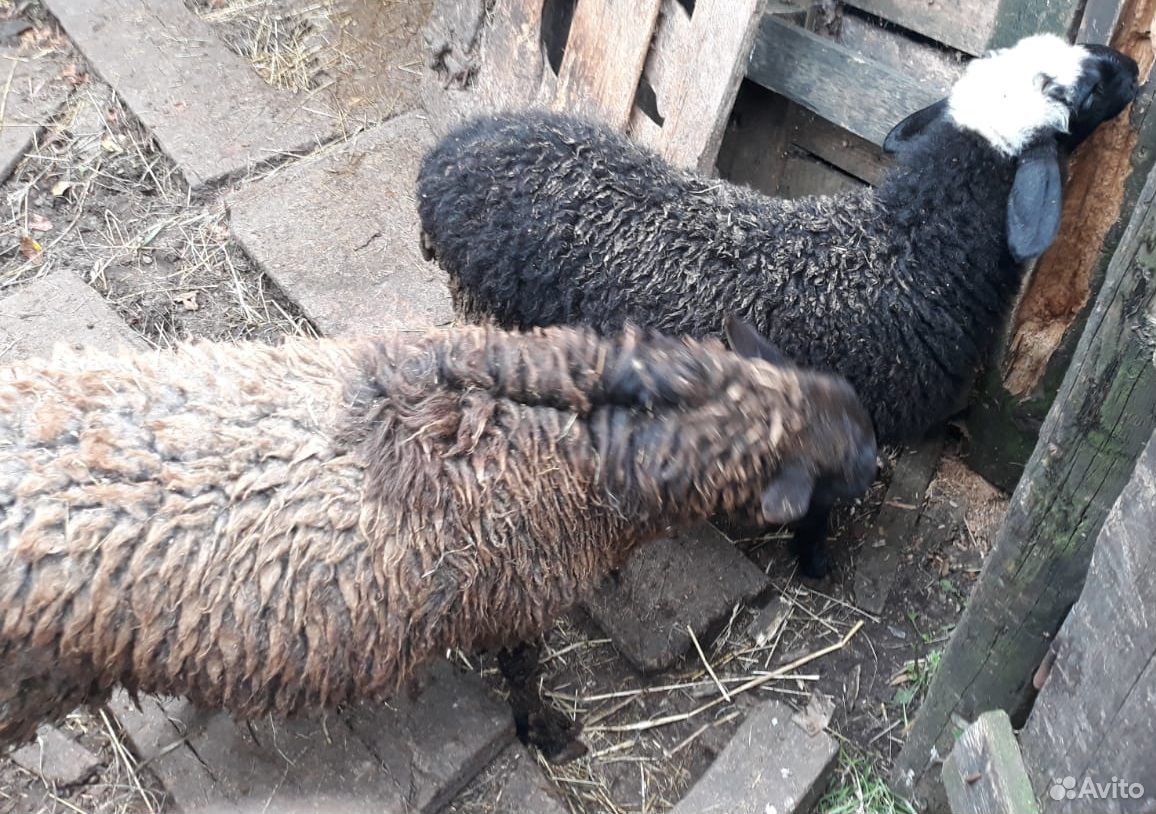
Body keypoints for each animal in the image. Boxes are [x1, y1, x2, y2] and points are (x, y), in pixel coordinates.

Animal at [415, 34, 1139, 578]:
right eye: (1087, 91)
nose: (1132, 68)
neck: (910, 251)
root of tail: (445, 157)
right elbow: (817, 513)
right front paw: (815, 566)